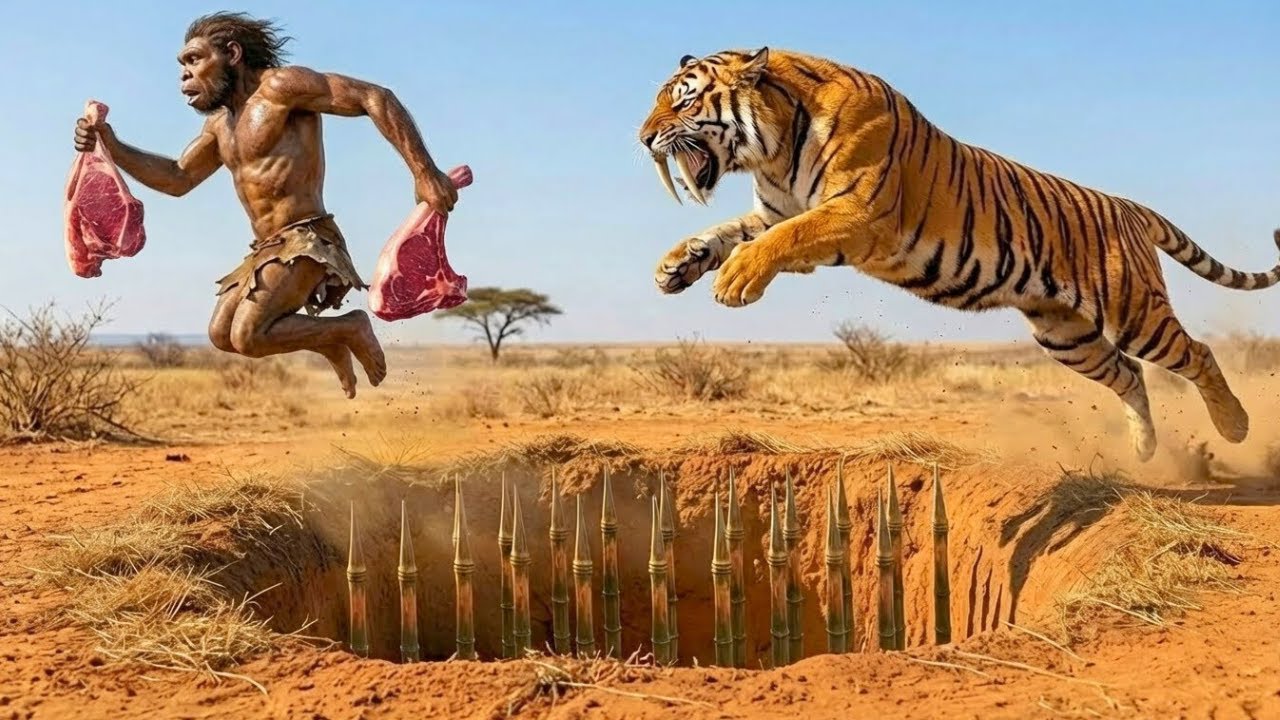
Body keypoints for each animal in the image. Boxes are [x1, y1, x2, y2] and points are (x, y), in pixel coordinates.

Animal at [637, 46, 1280, 461]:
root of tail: (1127, 205)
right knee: (1128, 373)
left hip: (1131, 310)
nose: (643, 139)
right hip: (1065, 334)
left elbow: (778, 241)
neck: (773, 146)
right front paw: (676, 265)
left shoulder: (855, 212)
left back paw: (1236, 427)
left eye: (684, 103)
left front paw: (735, 281)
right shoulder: (776, 210)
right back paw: (1145, 449)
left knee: (1195, 353)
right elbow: (726, 231)